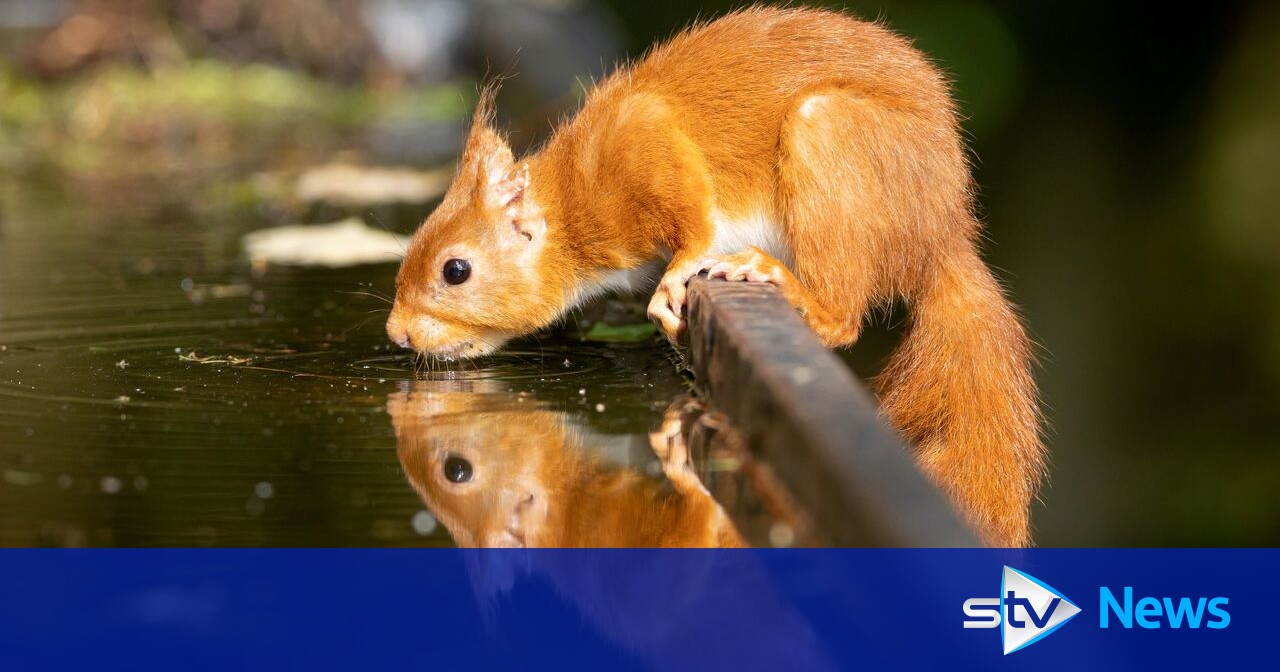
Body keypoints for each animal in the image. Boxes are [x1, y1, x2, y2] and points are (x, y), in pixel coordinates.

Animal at [386, 7, 1044, 547]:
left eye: (456, 270)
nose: (397, 334)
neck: (571, 209)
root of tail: (941, 234)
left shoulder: (646, 151)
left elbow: (692, 216)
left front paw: (674, 281)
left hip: (833, 137)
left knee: (841, 317)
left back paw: (777, 277)